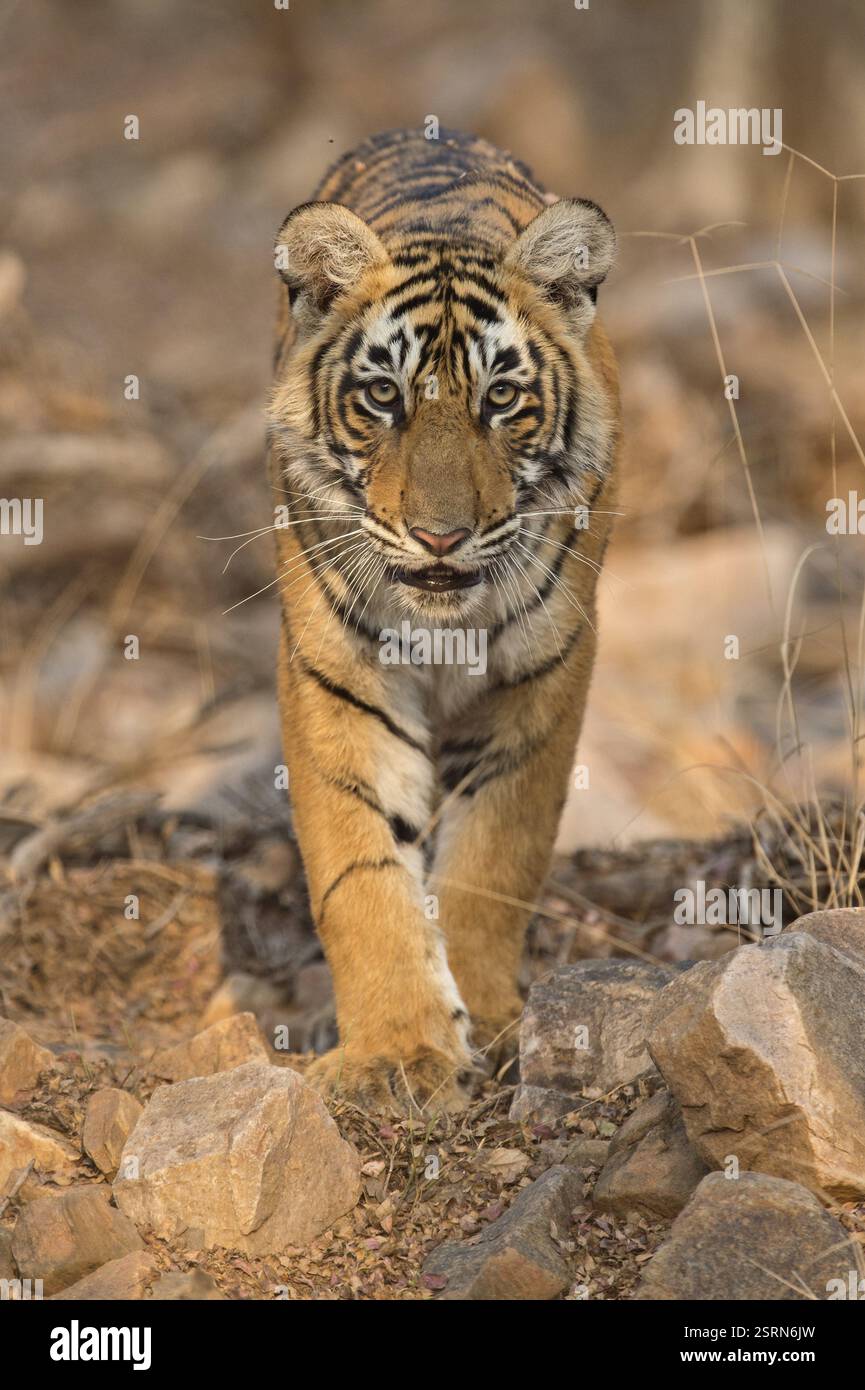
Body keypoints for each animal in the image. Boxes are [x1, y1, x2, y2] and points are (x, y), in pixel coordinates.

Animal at [266, 127, 620, 1112]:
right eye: (384, 396)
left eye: (499, 398)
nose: (438, 534)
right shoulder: (334, 676)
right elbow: (359, 873)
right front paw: (397, 1054)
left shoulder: (548, 671)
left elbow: (495, 854)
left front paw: (491, 1022)